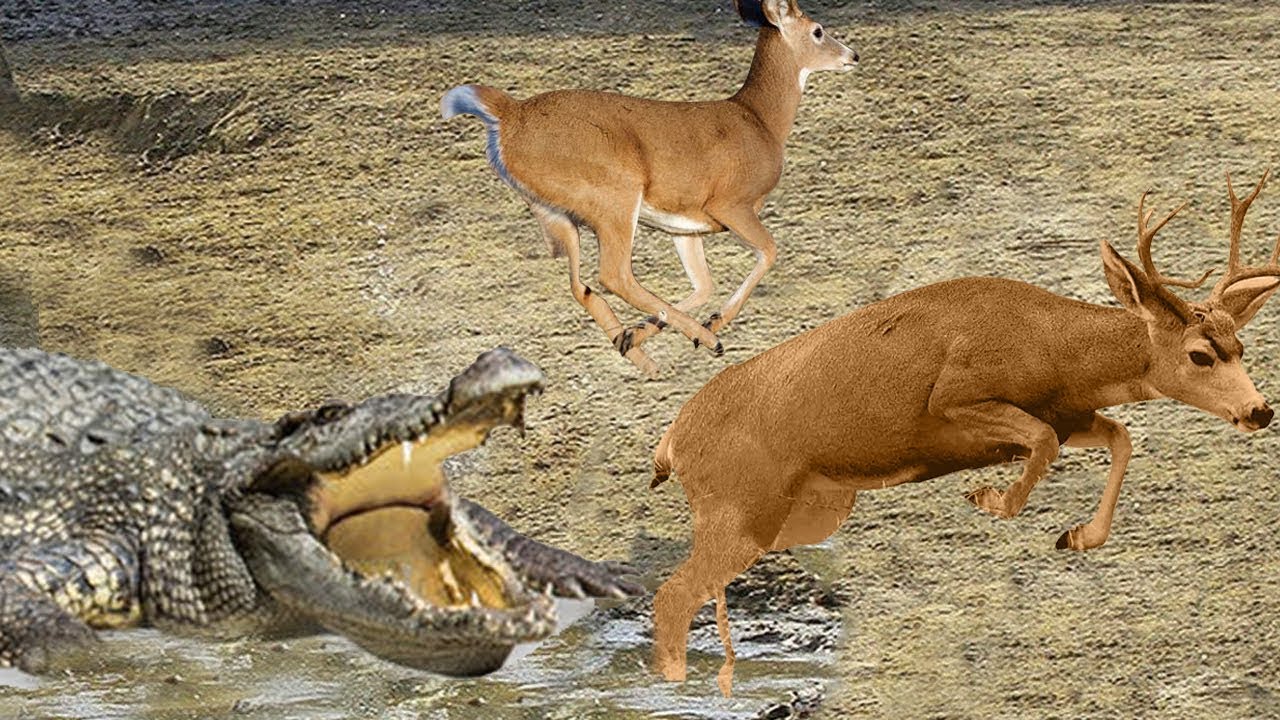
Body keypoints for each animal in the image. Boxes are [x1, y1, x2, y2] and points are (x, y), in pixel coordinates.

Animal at [440, 0, 858, 376]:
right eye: (818, 30)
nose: (852, 55)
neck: (760, 121)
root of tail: (509, 113)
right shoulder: (730, 203)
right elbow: (768, 252)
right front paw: (713, 324)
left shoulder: (685, 226)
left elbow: (703, 284)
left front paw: (643, 333)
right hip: (614, 195)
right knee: (614, 274)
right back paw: (702, 340)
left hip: (553, 211)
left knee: (580, 285)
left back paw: (638, 351)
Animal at [649, 171, 1280, 696]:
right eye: (1200, 355)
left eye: (1241, 346)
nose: (1259, 411)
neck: (1055, 348)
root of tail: (672, 440)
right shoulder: (954, 397)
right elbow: (1042, 442)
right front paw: (991, 498)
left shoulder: (1070, 413)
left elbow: (1117, 436)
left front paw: (1076, 535)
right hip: (741, 502)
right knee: (673, 594)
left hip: (805, 508)